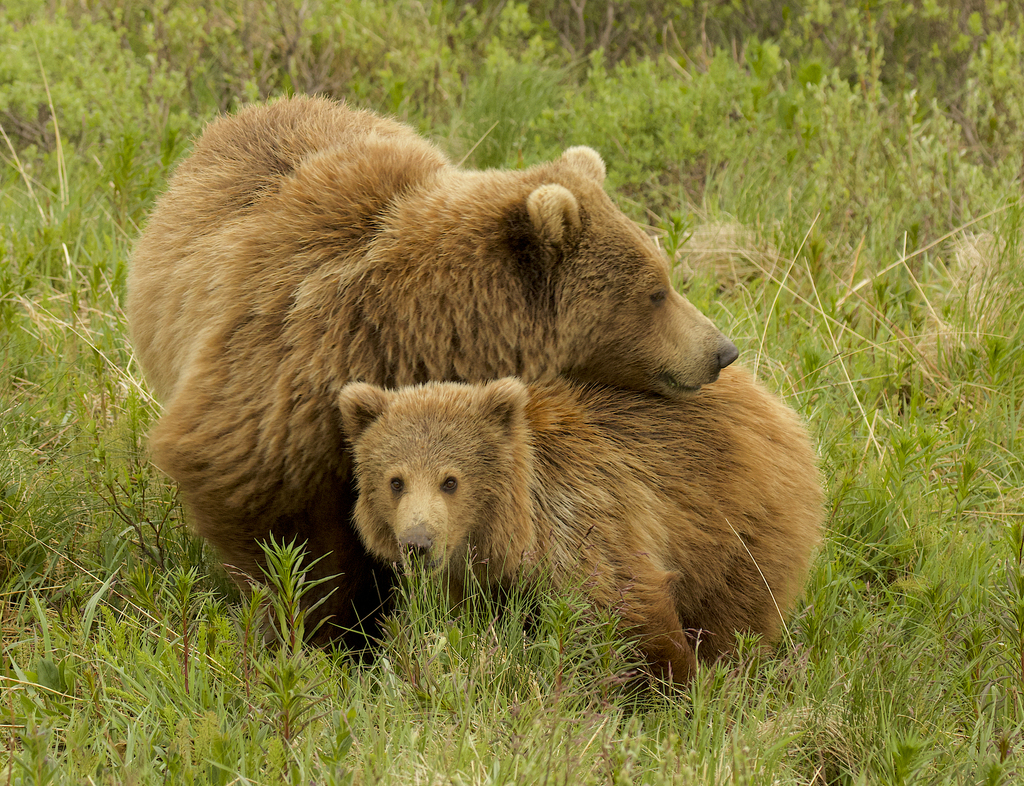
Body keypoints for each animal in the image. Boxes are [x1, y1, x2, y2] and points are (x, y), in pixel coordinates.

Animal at [126, 95, 738, 644]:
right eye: (655, 292)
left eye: (664, 273)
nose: (722, 350)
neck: (412, 331)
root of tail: (244, 113)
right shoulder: (283, 377)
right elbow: (268, 510)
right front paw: (327, 626)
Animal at [336, 365, 823, 684]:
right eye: (395, 480)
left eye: (450, 480)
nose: (417, 542)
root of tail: (778, 408)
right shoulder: (473, 575)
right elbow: (467, 617)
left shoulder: (582, 510)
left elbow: (626, 600)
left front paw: (678, 685)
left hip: (737, 520)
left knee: (735, 614)